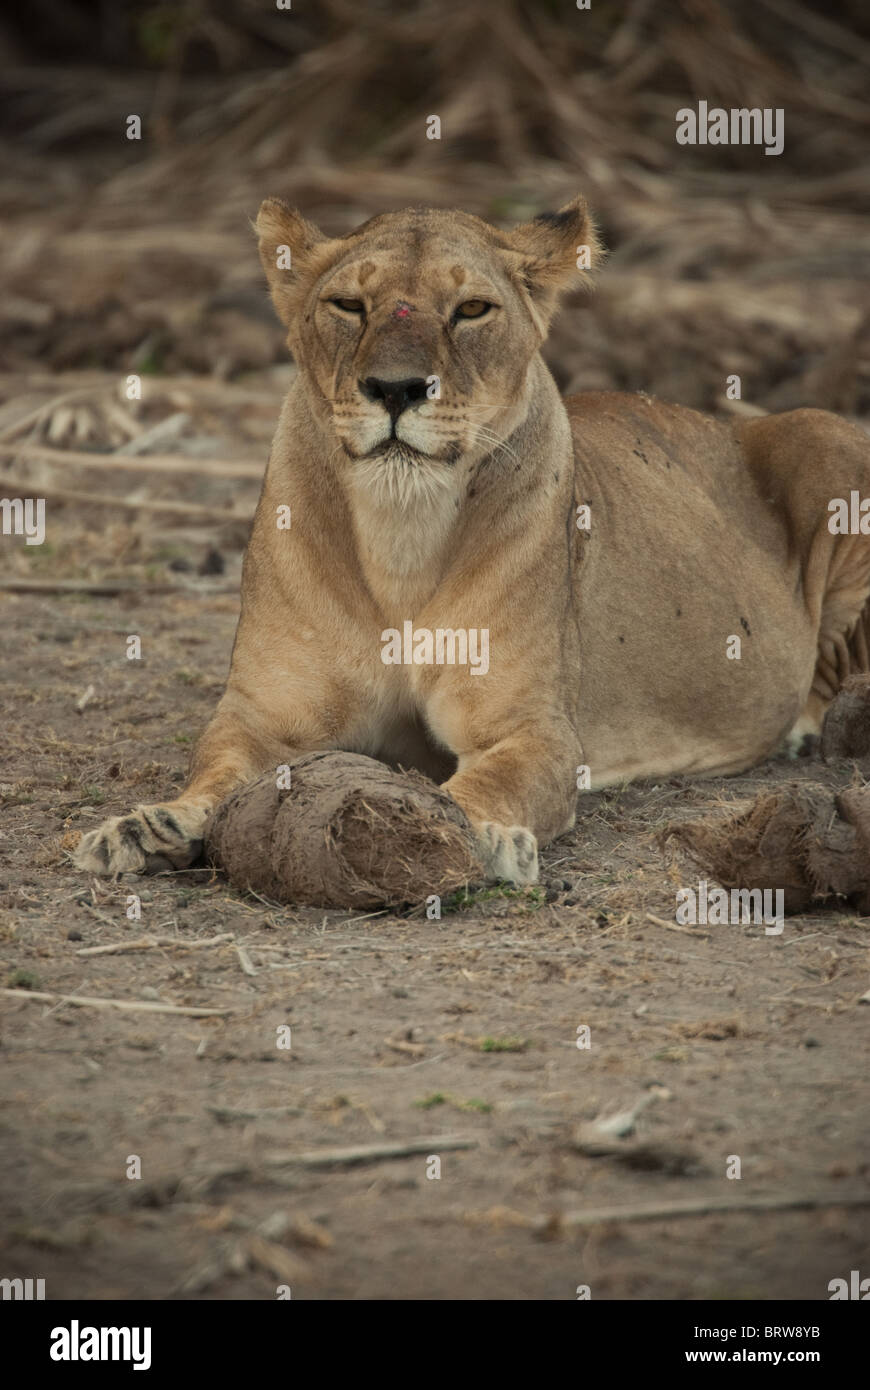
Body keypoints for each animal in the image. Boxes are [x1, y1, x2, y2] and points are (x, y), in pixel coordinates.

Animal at [75, 194, 870, 885]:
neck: (400, 536)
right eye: (348, 305)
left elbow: (484, 783)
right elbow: (213, 768)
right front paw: (145, 827)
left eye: (472, 310)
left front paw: (470, 836)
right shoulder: (262, 714)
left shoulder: (537, 731)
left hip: (827, 446)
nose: (396, 388)